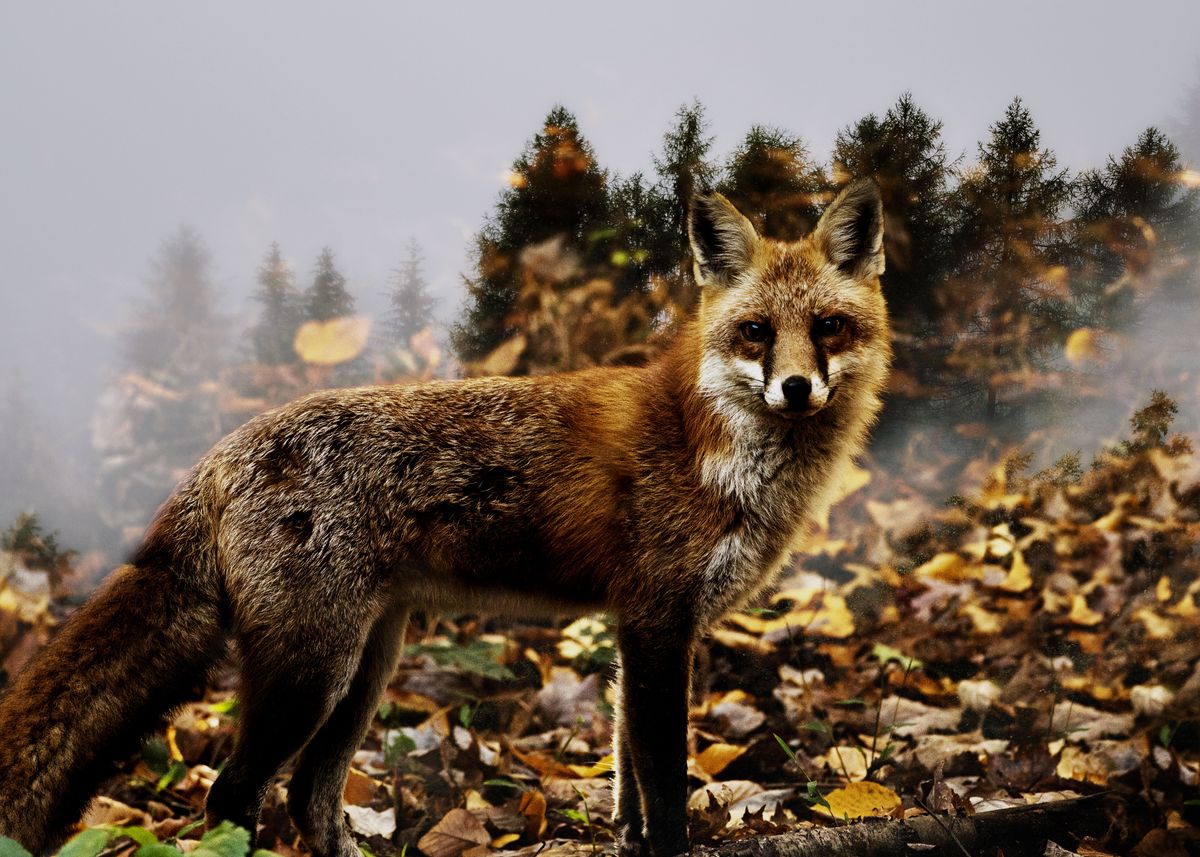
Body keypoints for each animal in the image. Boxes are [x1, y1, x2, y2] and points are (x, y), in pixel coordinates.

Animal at [0, 180, 889, 857]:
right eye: (755, 332)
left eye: (829, 327)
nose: (797, 389)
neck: (711, 442)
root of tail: (218, 453)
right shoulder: (658, 623)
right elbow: (664, 785)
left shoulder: (638, 632)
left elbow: (627, 783)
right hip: (309, 672)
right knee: (232, 798)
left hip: (366, 664)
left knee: (308, 797)